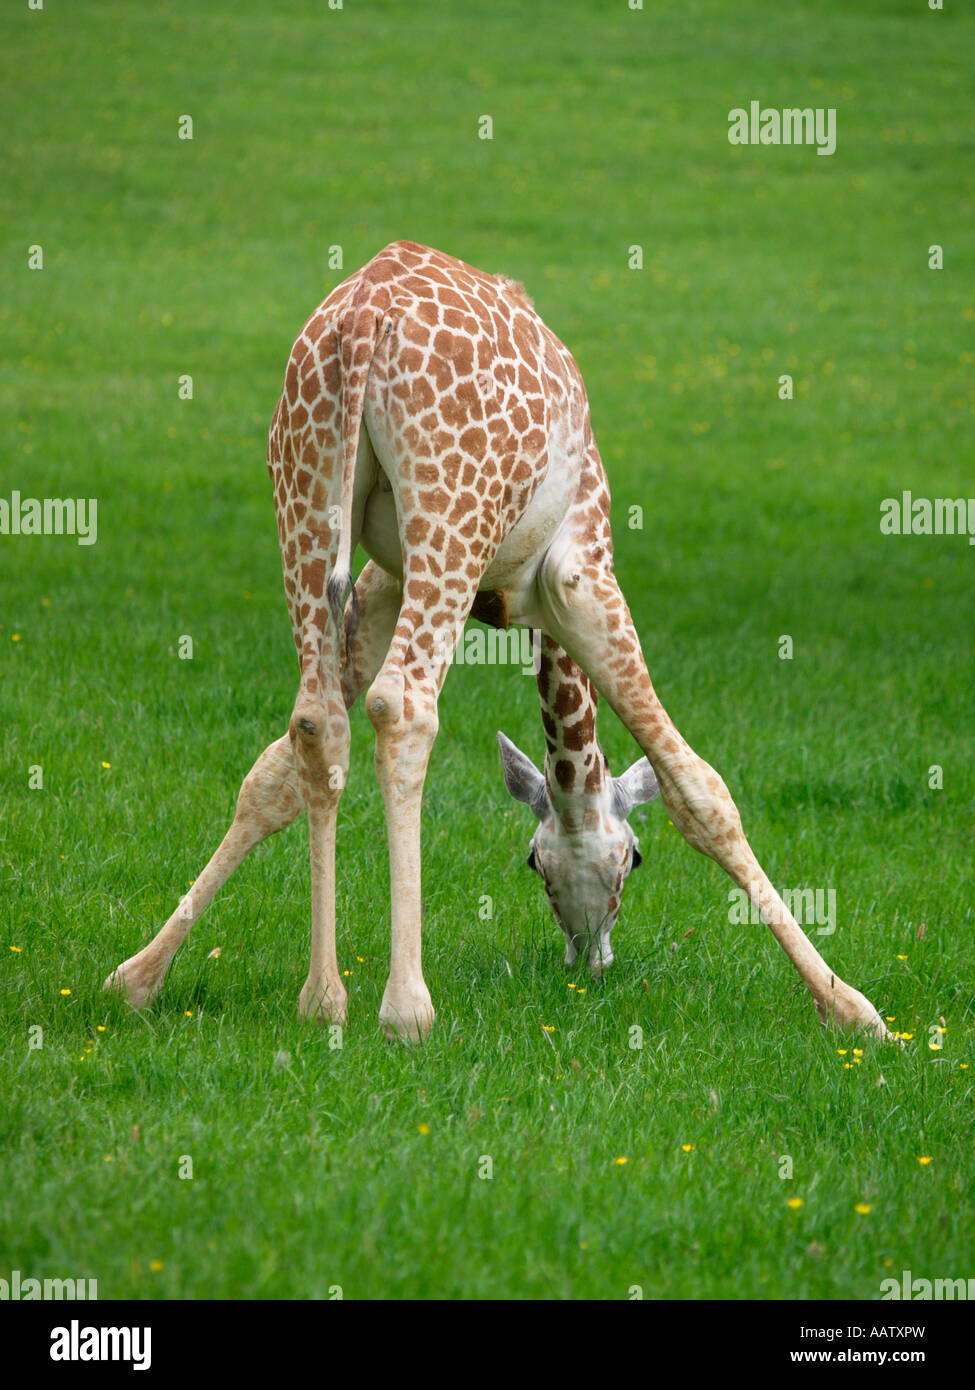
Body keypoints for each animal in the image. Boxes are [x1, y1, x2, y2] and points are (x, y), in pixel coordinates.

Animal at [104, 241, 893, 1044]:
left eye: (536, 863)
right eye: (633, 860)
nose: (589, 957)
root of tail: (363, 314)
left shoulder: (381, 580)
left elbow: (271, 776)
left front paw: (136, 976)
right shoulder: (578, 576)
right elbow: (700, 790)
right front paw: (853, 1009)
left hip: (305, 494)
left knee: (315, 720)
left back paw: (321, 998)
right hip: (453, 513)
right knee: (403, 705)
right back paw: (405, 1007)